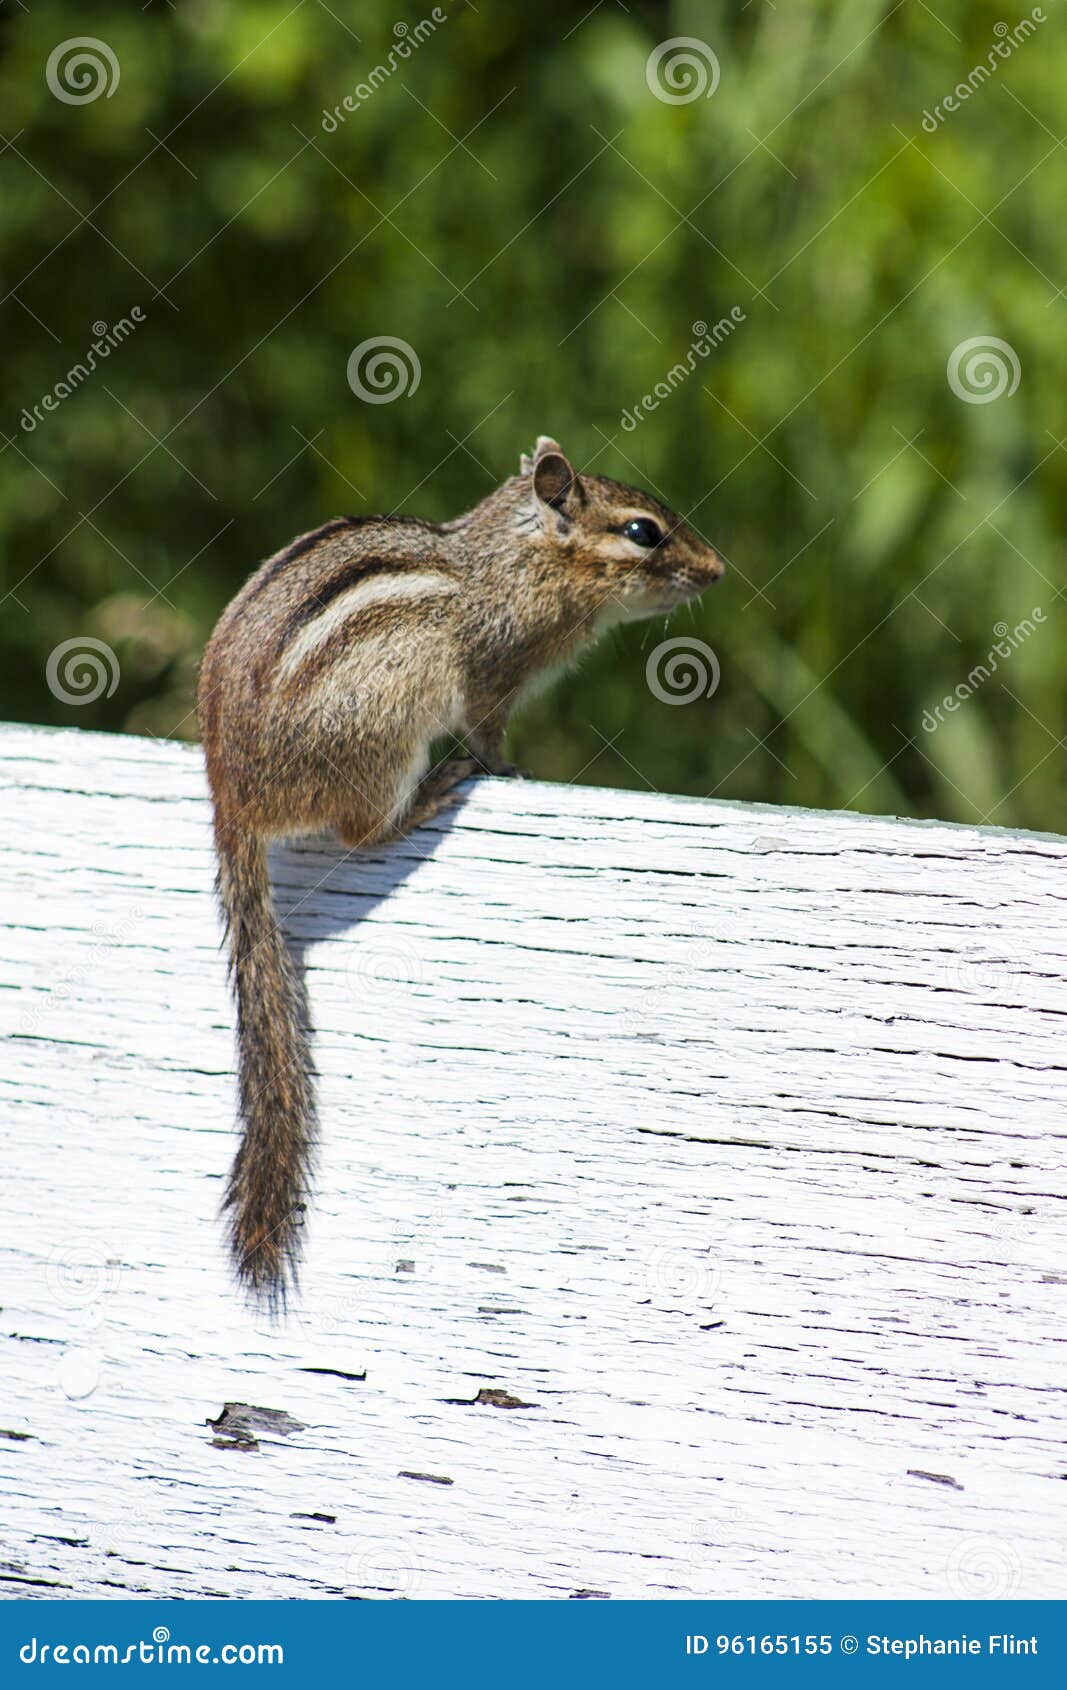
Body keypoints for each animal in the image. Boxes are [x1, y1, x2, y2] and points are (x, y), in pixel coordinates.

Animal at [197, 436, 724, 1309]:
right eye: (643, 532)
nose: (717, 571)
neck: (515, 559)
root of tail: (231, 799)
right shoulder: (490, 677)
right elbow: (487, 736)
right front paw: (508, 770)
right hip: (392, 712)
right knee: (362, 827)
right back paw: (433, 795)